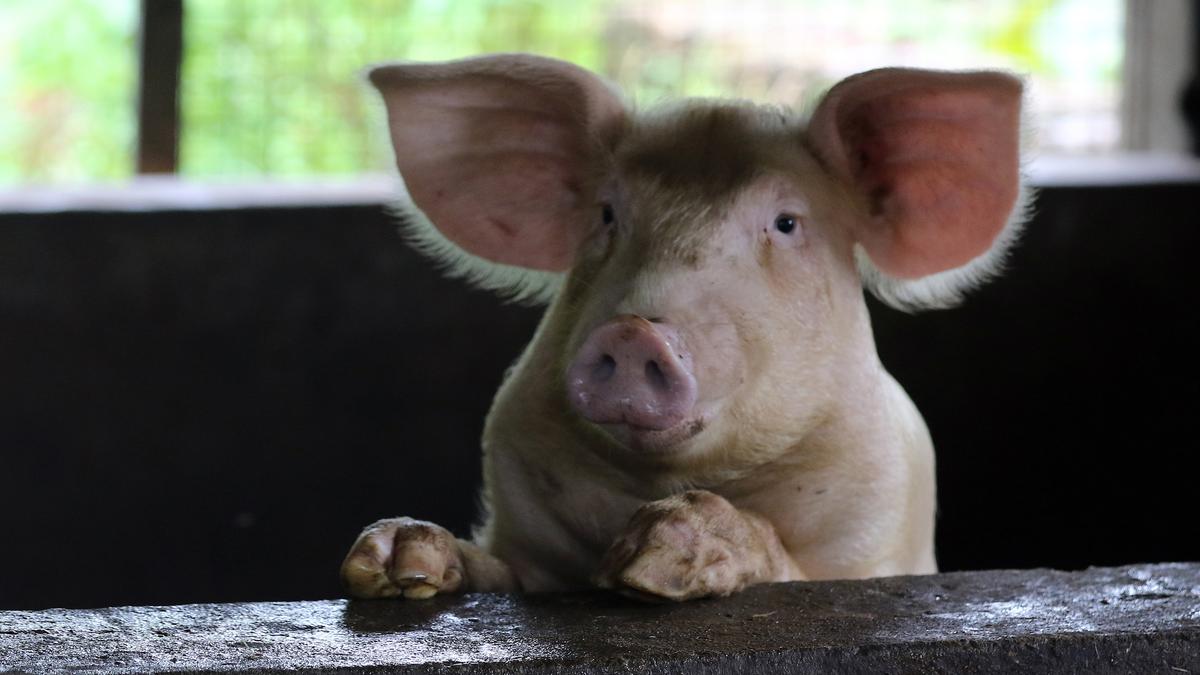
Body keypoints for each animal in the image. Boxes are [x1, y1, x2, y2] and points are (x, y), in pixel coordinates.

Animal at [341, 54, 1027, 601]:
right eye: (608, 214)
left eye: (786, 223)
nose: (632, 330)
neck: (667, 477)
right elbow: (503, 575)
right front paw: (398, 558)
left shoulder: (877, 543)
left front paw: (661, 558)